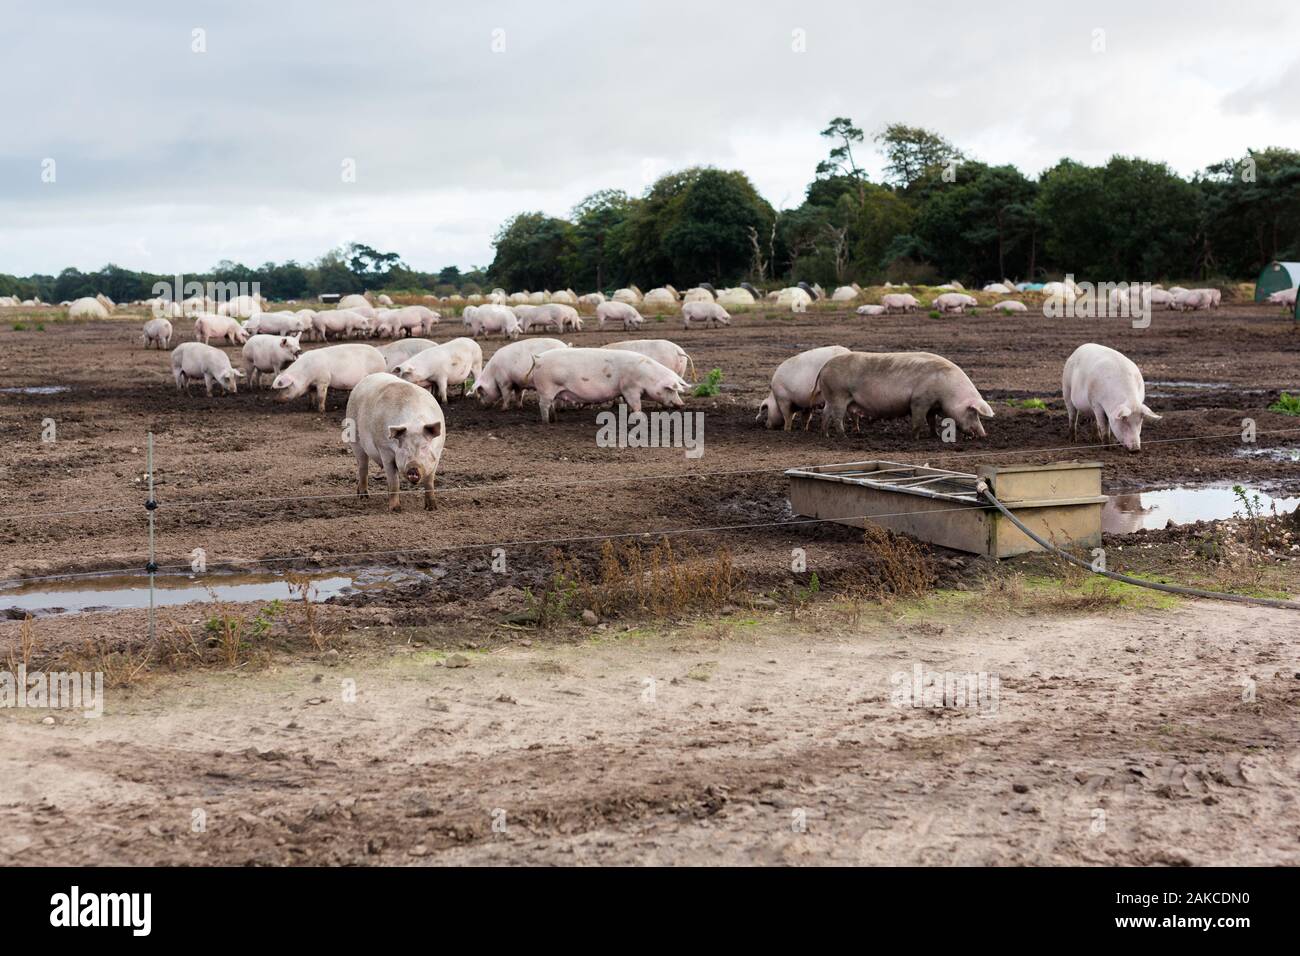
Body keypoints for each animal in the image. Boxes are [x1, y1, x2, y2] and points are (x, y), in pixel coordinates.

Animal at [346, 372, 446, 512]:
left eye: (424, 447)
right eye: (404, 448)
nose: (413, 467)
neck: (414, 422)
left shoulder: (437, 454)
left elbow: (429, 482)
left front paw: (432, 508)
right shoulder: (384, 450)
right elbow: (394, 482)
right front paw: (395, 509)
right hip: (355, 439)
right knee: (363, 467)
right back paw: (364, 497)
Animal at [529, 347, 688, 423]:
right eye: (671, 390)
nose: (682, 404)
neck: (648, 377)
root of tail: (538, 358)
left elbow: (630, 405)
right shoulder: (630, 388)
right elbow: (636, 405)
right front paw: (641, 418)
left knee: (551, 404)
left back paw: (554, 419)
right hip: (546, 387)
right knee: (543, 405)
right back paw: (546, 423)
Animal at [813, 351, 995, 438]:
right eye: (973, 412)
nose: (984, 434)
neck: (949, 390)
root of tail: (824, 366)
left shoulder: (932, 405)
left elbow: (932, 421)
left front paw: (934, 435)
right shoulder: (920, 400)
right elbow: (919, 421)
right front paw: (915, 438)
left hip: (830, 397)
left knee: (825, 414)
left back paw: (825, 435)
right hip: (839, 394)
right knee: (837, 416)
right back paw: (843, 437)